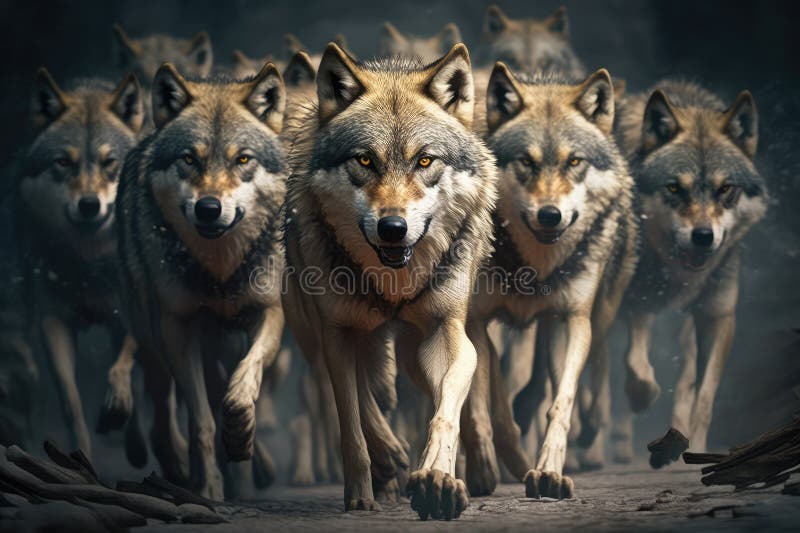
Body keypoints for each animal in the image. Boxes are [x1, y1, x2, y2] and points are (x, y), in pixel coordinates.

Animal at [17, 69, 144, 458]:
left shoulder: (133, 314)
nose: (89, 205)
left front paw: (116, 411)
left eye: (109, 162)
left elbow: (122, 370)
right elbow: (71, 403)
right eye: (63, 162)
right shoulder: (53, 322)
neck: (90, 267)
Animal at [116, 63, 288, 498]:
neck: (220, 270)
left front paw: (240, 436)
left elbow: (241, 392)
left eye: (242, 159)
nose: (208, 208)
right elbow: (200, 420)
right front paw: (209, 486)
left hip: (220, 342)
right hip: (152, 338)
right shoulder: (177, 329)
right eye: (189, 159)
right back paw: (182, 468)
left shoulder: (269, 313)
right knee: (164, 408)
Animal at [282, 43, 497, 519]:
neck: (393, 288)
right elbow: (352, 421)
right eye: (365, 160)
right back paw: (389, 461)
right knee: (362, 395)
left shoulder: (444, 330)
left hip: (419, 349)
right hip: (319, 330)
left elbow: (447, 406)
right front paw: (362, 493)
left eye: (425, 160)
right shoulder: (337, 331)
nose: (393, 228)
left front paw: (437, 479)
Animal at [461, 63, 638, 499]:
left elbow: (562, 400)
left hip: (595, 316)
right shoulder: (476, 321)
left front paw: (548, 471)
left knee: (592, 369)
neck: (535, 268)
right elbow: (487, 406)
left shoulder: (571, 319)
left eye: (574, 161)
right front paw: (486, 468)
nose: (550, 215)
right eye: (526, 161)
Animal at [612, 81, 767, 467]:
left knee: (685, 379)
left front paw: (694, 444)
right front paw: (641, 398)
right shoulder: (638, 303)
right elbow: (636, 369)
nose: (703, 236)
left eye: (725, 189)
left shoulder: (717, 316)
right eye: (674, 188)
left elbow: (704, 396)